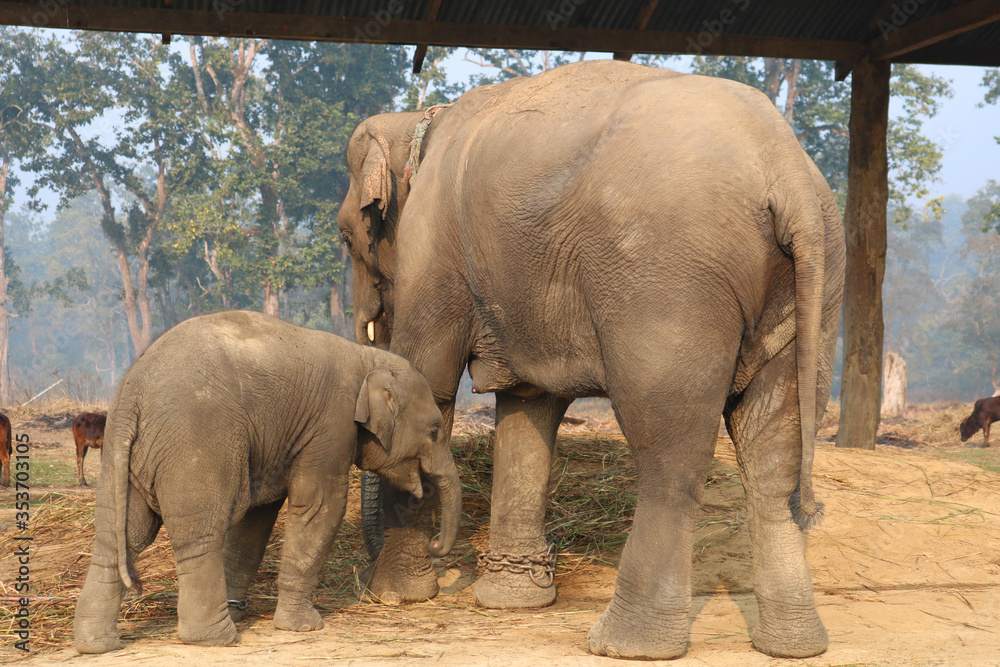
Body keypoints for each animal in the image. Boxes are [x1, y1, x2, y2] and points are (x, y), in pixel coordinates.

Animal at [73, 310, 461, 653]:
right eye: (434, 431)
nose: (437, 546)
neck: (367, 358)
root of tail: (132, 395)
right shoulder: (330, 427)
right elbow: (320, 505)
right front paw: (304, 626)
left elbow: (255, 520)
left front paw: (238, 611)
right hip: (196, 445)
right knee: (200, 534)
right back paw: (215, 639)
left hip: (123, 458)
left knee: (119, 536)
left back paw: (96, 646)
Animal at [337, 59, 845, 659]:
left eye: (347, 236)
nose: (439, 556)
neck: (418, 119)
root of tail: (786, 172)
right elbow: (528, 403)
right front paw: (514, 601)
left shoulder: (434, 245)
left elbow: (430, 382)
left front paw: (395, 596)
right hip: (814, 278)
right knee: (772, 452)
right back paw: (793, 646)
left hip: (667, 280)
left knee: (670, 449)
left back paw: (626, 645)